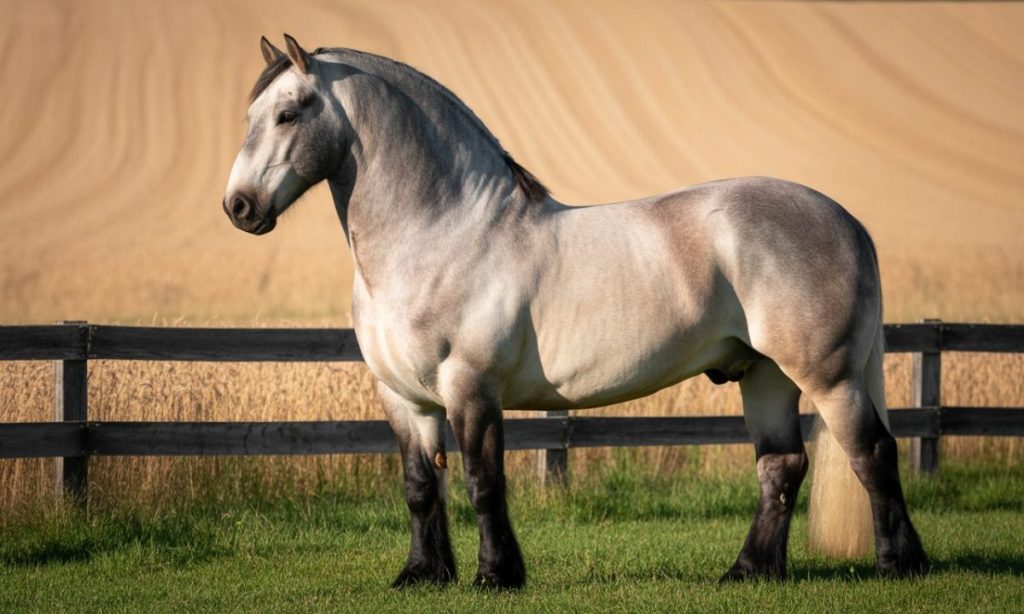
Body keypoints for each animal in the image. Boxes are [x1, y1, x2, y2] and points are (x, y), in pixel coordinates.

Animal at [223, 34, 928, 588]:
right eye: (252, 113)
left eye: (288, 113)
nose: (239, 207)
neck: (440, 233)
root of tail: (844, 220)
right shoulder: (403, 398)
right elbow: (422, 487)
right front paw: (421, 575)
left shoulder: (470, 388)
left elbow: (483, 482)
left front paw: (495, 576)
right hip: (766, 375)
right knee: (781, 465)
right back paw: (748, 571)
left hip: (828, 377)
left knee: (872, 453)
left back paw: (899, 564)